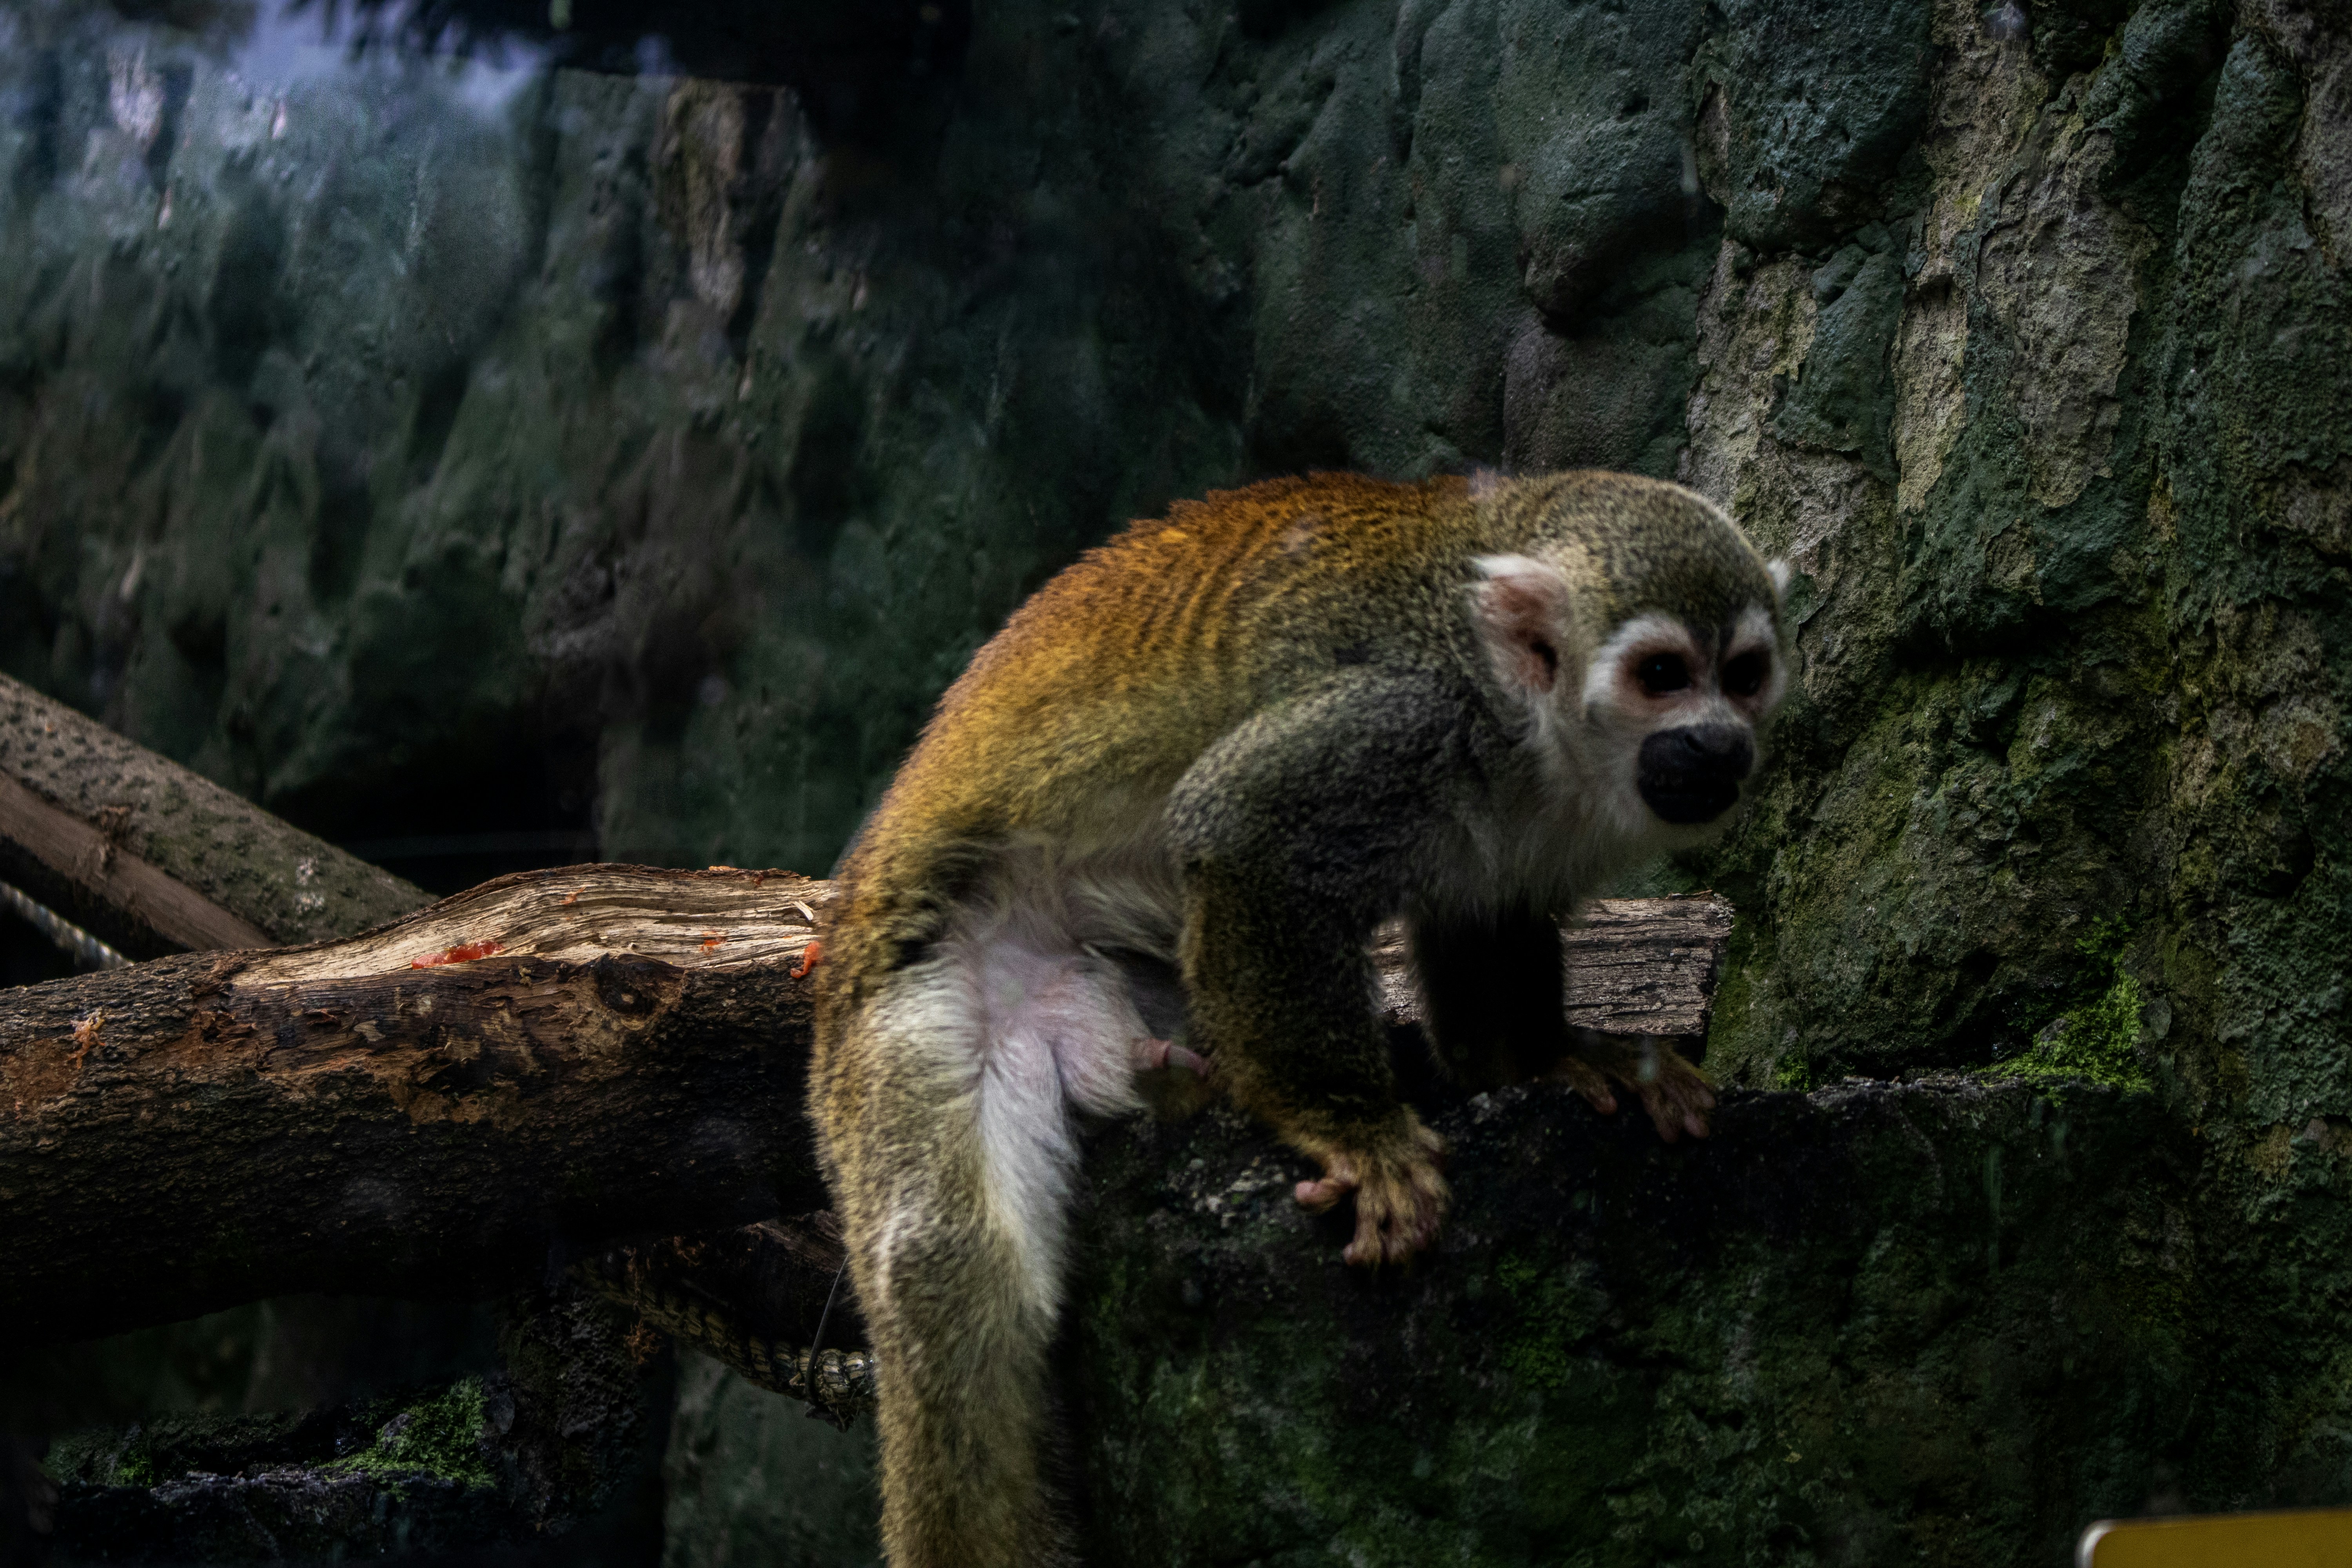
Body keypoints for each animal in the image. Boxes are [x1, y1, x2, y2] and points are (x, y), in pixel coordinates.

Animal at [808, 469, 1790, 1568]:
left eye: (1744, 674)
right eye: (1663, 674)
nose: (1723, 742)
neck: (1518, 716)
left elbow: (1485, 908)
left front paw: (1549, 1059)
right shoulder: (1401, 717)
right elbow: (1241, 829)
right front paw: (1350, 1127)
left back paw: (1175, 1083)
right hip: (912, 982)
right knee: (953, 1274)